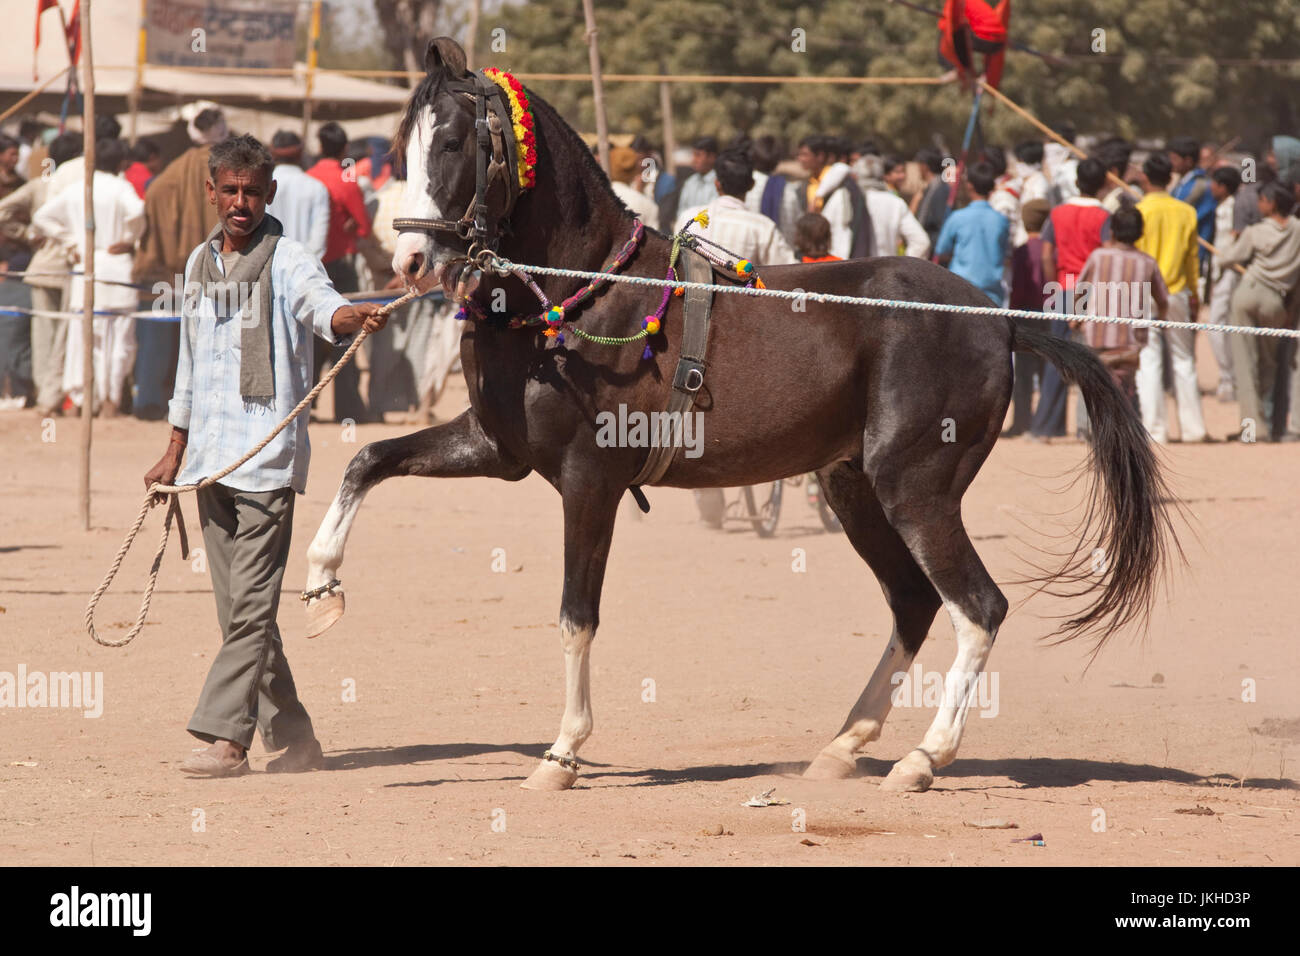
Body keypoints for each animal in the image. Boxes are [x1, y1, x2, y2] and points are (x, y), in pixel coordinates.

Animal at [301, 37, 1176, 792]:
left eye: (453, 142)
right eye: (402, 147)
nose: (409, 259)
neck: (583, 291)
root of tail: (996, 319)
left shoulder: (589, 481)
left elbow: (576, 617)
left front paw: (563, 752)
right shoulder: (496, 448)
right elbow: (366, 462)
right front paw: (321, 580)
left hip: (917, 490)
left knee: (978, 608)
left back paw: (923, 758)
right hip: (855, 487)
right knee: (915, 603)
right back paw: (845, 744)